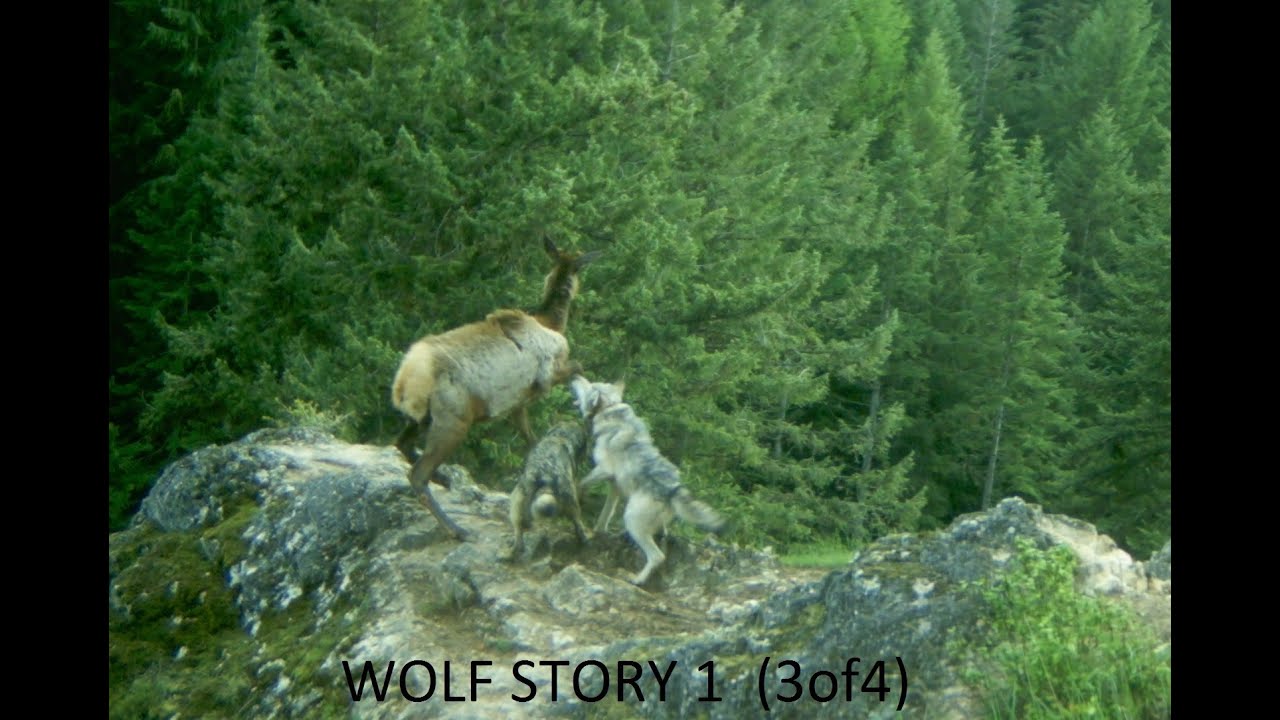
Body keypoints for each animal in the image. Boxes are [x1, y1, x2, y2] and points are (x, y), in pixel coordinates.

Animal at [391, 238, 601, 539]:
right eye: (579, 269)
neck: (551, 321)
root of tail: (404, 382)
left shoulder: (519, 400)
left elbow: (530, 438)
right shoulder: (548, 374)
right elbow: (579, 367)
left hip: (419, 418)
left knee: (401, 445)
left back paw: (444, 479)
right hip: (453, 420)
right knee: (417, 474)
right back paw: (456, 528)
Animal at [505, 422, 591, 560]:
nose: (587, 455)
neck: (560, 435)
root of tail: (541, 473)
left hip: (518, 495)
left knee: (518, 524)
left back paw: (515, 548)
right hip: (566, 490)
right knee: (575, 515)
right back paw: (583, 538)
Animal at [568, 376, 726, 585]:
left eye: (590, 385)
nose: (575, 376)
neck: (611, 408)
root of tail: (673, 490)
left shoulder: (603, 470)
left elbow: (580, 484)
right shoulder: (615, 485)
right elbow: (605, 514)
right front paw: (598, 531)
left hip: (631, 519)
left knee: (657, 556)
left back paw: (637, 580)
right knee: (663, 538)